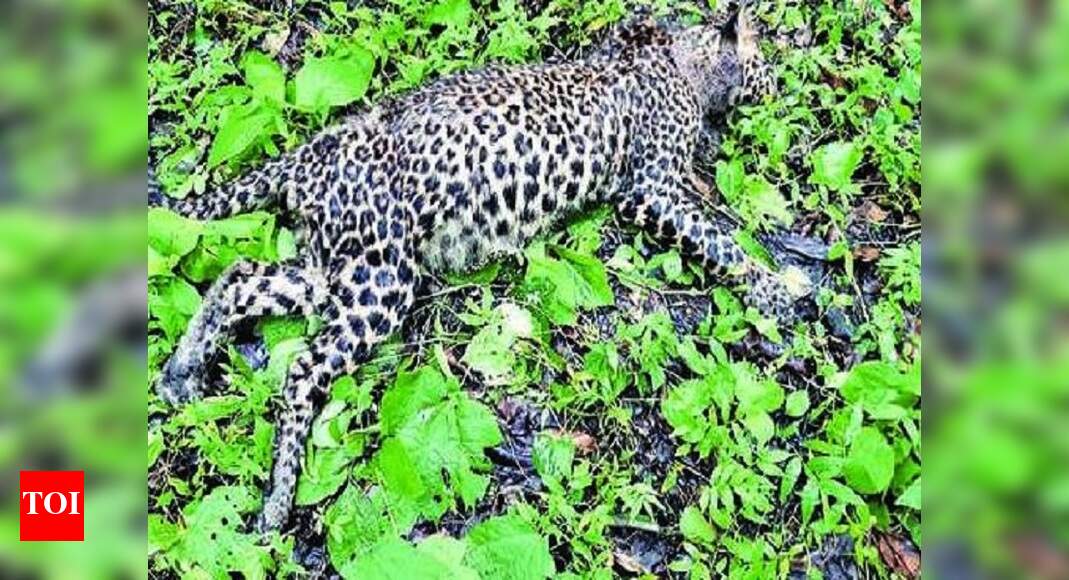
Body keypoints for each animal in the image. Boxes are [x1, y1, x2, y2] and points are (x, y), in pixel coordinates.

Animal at [150, 4, 811, 533]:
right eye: (762, 57)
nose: (778, 79)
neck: (681, 62)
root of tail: (309, 153)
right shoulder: (651, 191)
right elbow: (719, 240)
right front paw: (773, 290)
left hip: (334, 265)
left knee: (240, 278)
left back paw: (182, 374)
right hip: (380, 279)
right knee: (304, 367)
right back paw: (277, 499)